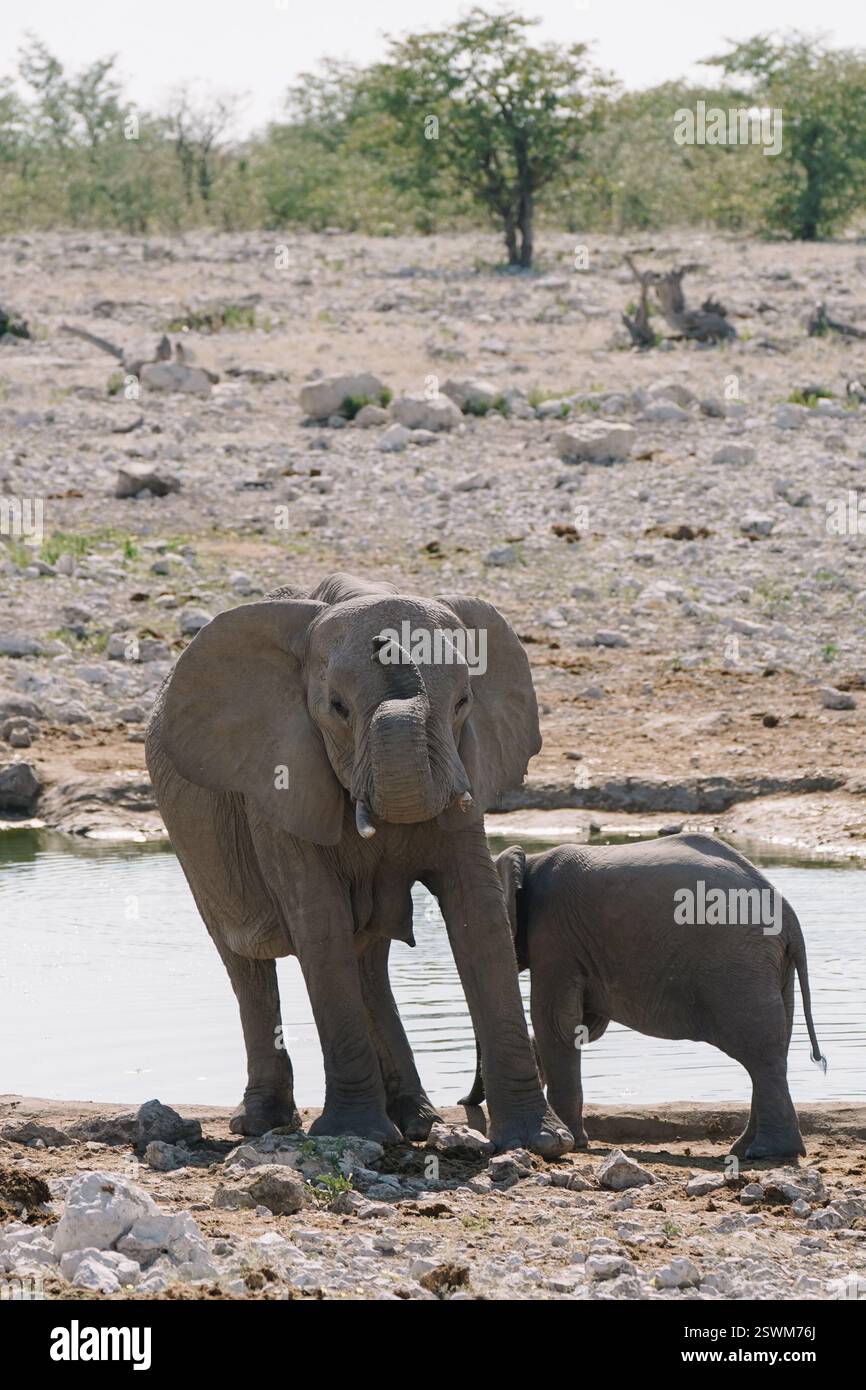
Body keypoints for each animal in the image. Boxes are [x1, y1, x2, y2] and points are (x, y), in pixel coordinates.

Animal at [145, 571, 573, 1157]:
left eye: (463, 701)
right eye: (337, 708)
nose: (388, 647)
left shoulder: (468, 763)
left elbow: (477, 914)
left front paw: (540, 1142)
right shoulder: (279, 777)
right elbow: (319, 920)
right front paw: (354, 1135)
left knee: (367, 957)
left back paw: (419, 1123)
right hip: (193, 843)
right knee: (246, 961)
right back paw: (263, 1123)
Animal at [465, 833, 825, 1159]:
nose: (464, 1103)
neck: (530, 861)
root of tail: (789, 917)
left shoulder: (555, 937)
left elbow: (555, 1022)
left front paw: (572, 1142)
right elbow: (585, 1026)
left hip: (739, 967)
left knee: (760, 1052)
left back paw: (766, 1152)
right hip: (773, 970)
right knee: (773, 1048)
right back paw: (747, 1149)